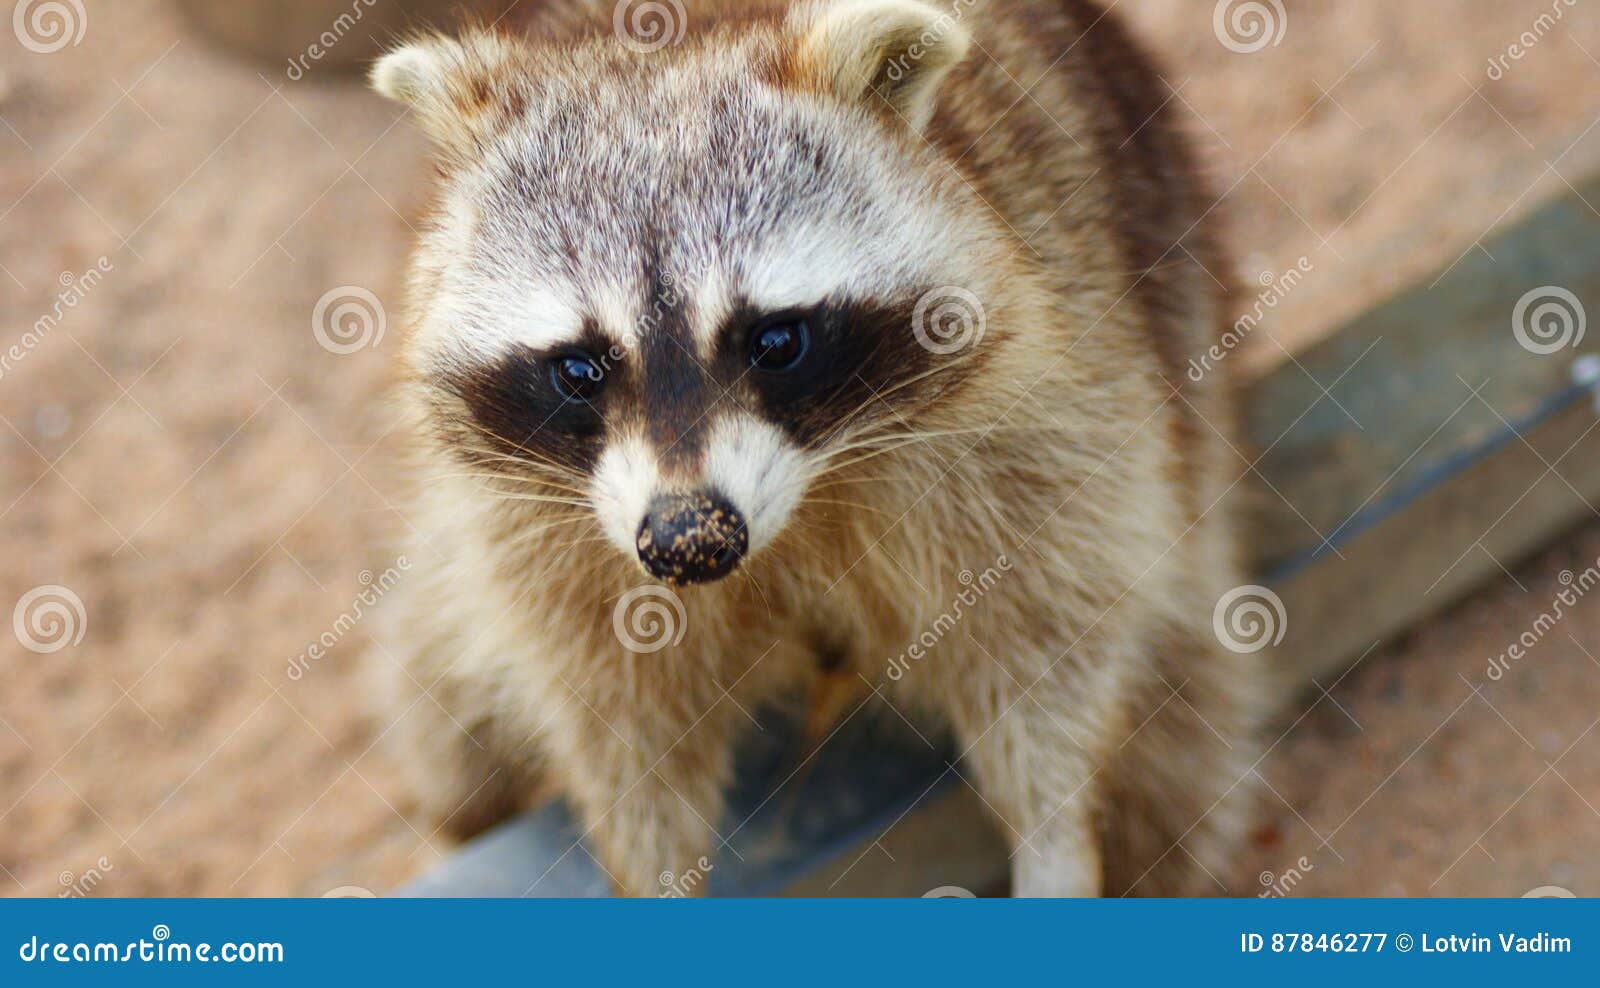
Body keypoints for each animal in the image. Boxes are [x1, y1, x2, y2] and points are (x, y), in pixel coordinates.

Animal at [370, 0, 1265, 896]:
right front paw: (653, 867)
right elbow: (623, 730)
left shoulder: (1048, 418)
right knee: (444, 728)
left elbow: (1047, 645)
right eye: (580, 369)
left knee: (1182, 736)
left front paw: (1056, 835)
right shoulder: (540, 542)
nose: (688, 538)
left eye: (775, 341)